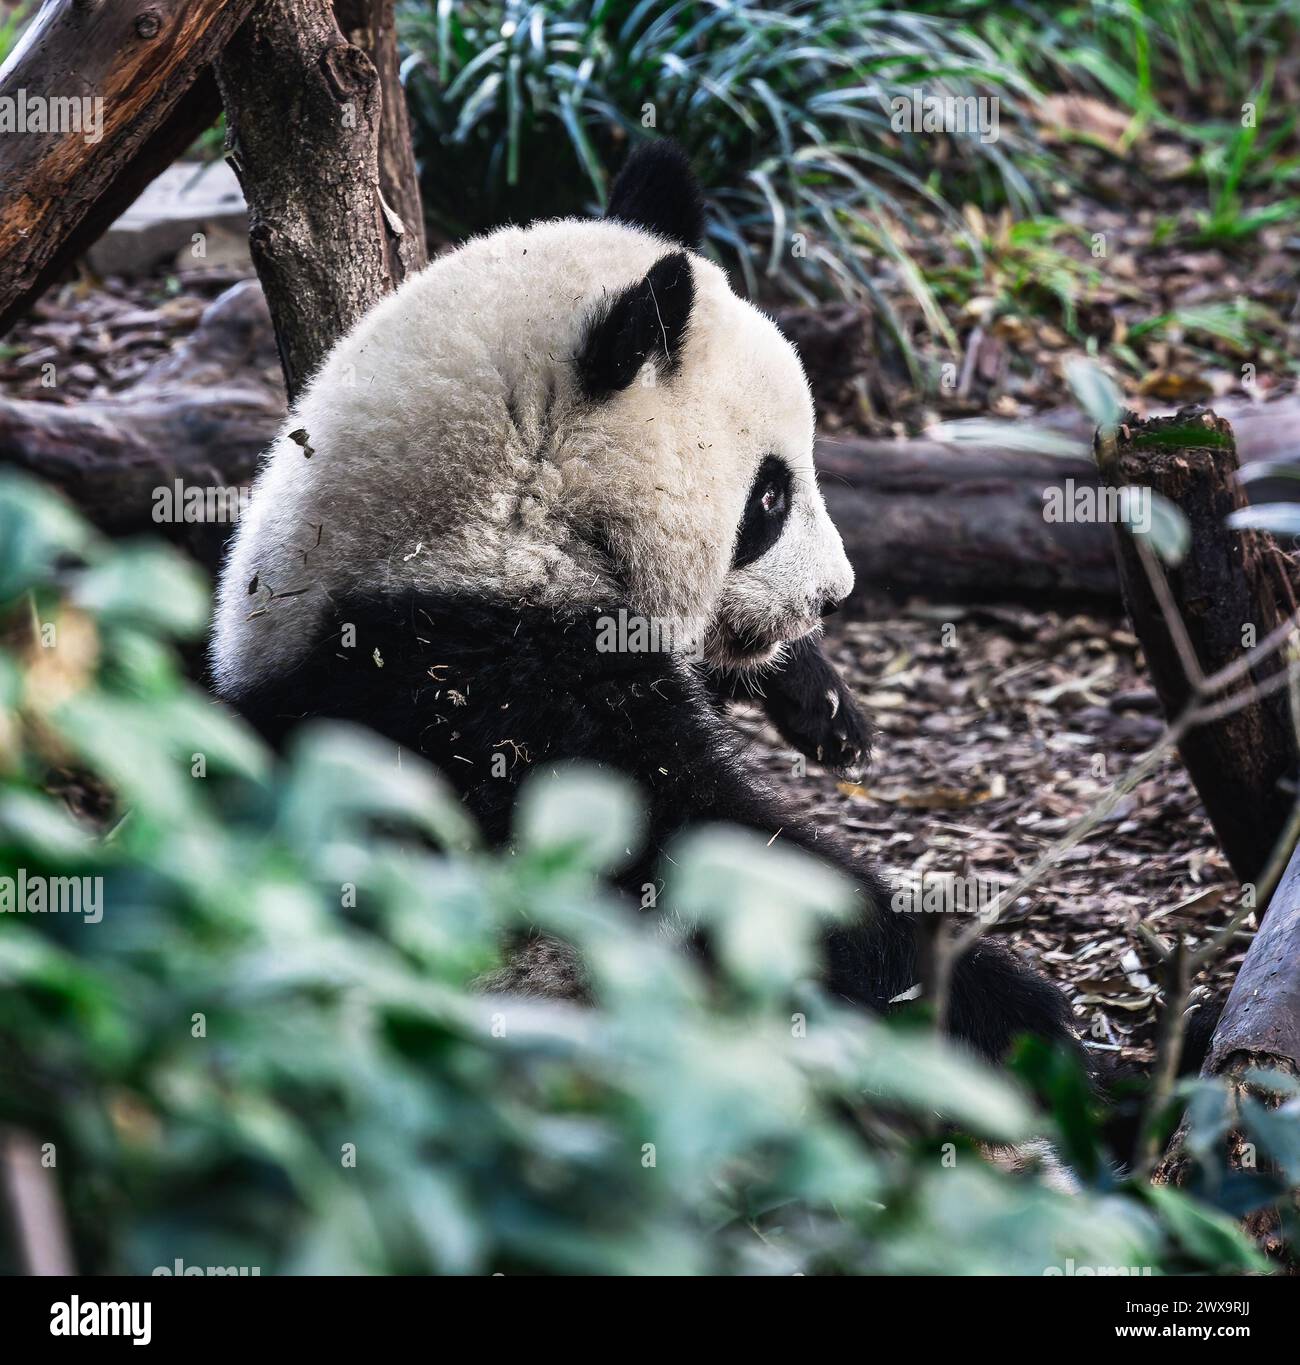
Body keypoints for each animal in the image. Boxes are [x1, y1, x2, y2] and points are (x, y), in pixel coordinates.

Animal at [209, 141, 1077, 1063]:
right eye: (769, 499)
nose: (833, 596)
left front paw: (824, 702)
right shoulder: (475, 689)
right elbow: (696, 853)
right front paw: (1003, 1001)